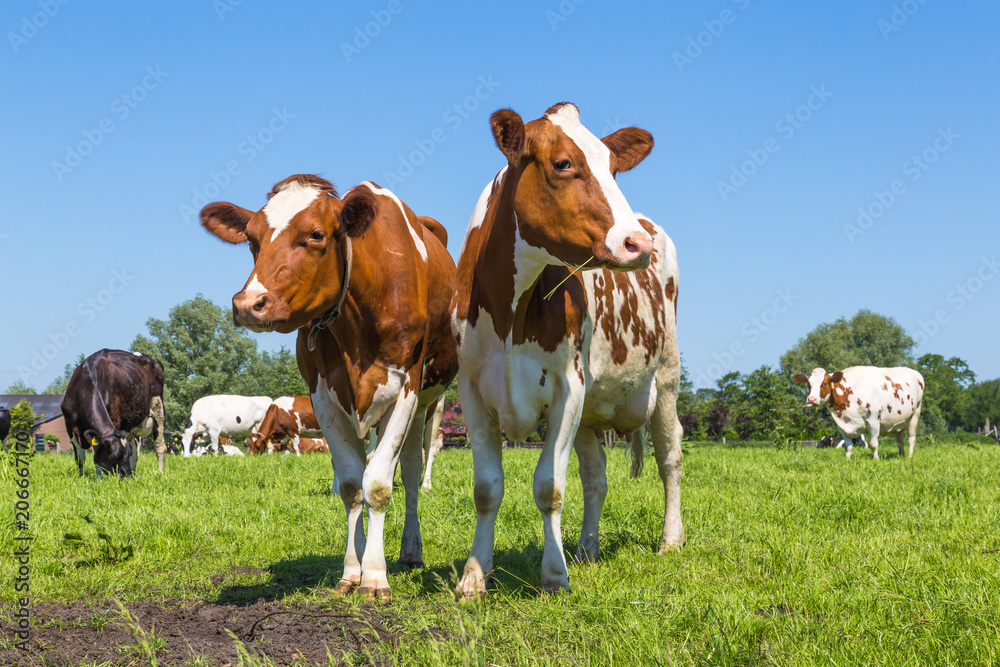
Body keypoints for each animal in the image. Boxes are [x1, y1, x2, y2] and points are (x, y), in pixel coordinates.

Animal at [60, 349, 168, 477]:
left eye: (127, 453)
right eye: (115, 455)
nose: (127, 475)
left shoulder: (114, 419)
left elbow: (96, 455)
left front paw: (98, 478)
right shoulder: (69, 425)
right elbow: (80, 457)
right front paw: (82, 476)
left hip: (158, 407)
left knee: (160, 446)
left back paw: (160, 473)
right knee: (136, 453)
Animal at [200, 173, 457, 602]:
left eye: (316, 234)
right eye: (252, 239)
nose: (248, 304)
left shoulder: (404, 389)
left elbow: (379, 485)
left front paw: (375, 577)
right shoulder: (323, 396)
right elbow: (352, 484)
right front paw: (352, 571)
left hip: (427, 402)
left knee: (411, 470)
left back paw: (411, 549)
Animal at [451, 103, 682, 598]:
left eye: (614, 168)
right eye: (562, 163)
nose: (636, 244)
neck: (511, 316)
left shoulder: (567, 388)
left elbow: (549, 487)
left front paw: (554, 575)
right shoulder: (473, 390)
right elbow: (487, 489)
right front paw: (475, 575)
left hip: (667, 376)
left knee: (669, 456)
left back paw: (670, 540)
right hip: (592, 412)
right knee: (595, 477)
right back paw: (588, 548)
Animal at [794, 366, 924, 460]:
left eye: (824, 383)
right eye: (808, 384)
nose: (811, 399)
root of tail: (915, 372)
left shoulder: (873, 421)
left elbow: (873, 444)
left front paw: (876, 460)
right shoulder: (842, 425)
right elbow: (847, 446)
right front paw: (847, 460)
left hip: (915, 414)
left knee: (911, 438)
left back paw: (909, 457)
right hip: (899, 422)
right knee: (900, 441)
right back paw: (901, 456)